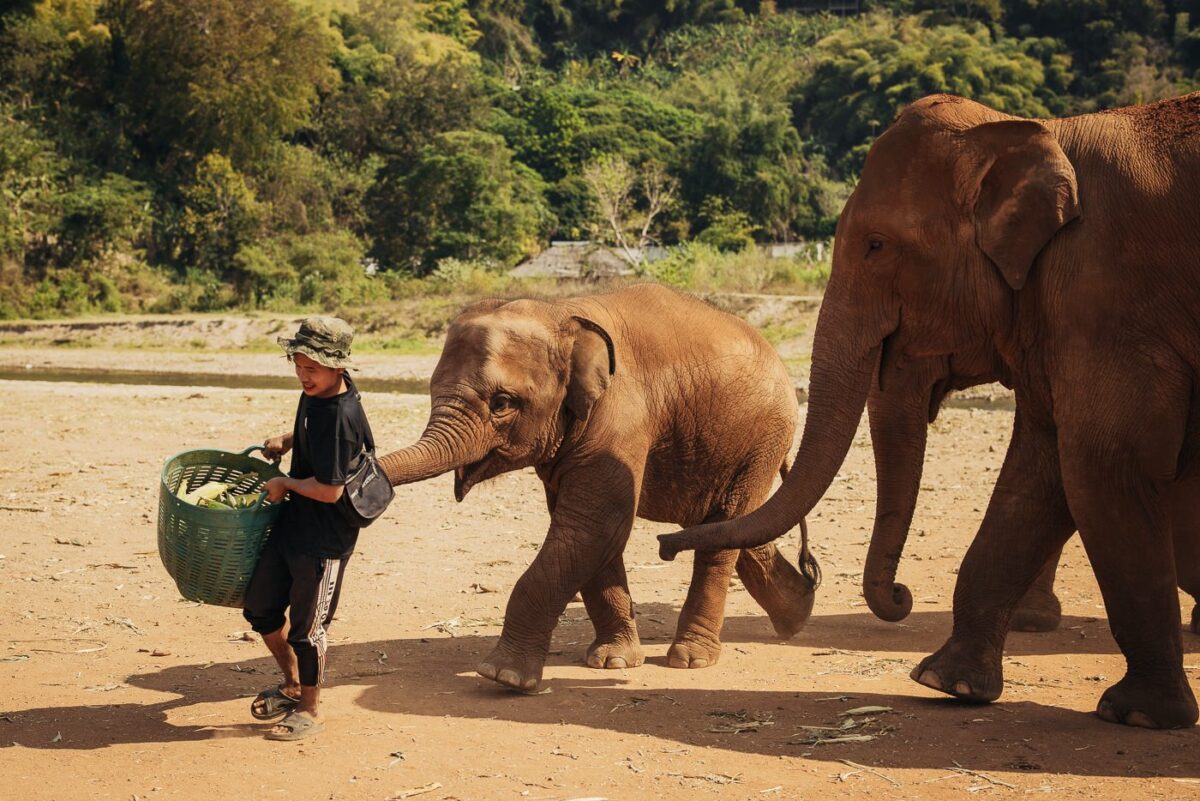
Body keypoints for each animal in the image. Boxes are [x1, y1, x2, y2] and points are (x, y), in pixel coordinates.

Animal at [378, 284, 820, 692]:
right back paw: (797, 612)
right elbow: (592, 534)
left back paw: (692, 659)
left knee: (724, 530)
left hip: (762, 439)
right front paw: (613, 662)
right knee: (729, 524)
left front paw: (504, 676)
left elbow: (593, 525)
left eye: (502, 403)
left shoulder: (620, 414)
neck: (561, 314)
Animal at [660, 92, 1200, 728]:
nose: (900, 596)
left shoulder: (1105, 294)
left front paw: (1137, 715)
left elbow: (1101, 466)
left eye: (876, 244)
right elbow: (1037, 474)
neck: (1044, 132)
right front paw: (947, 682)